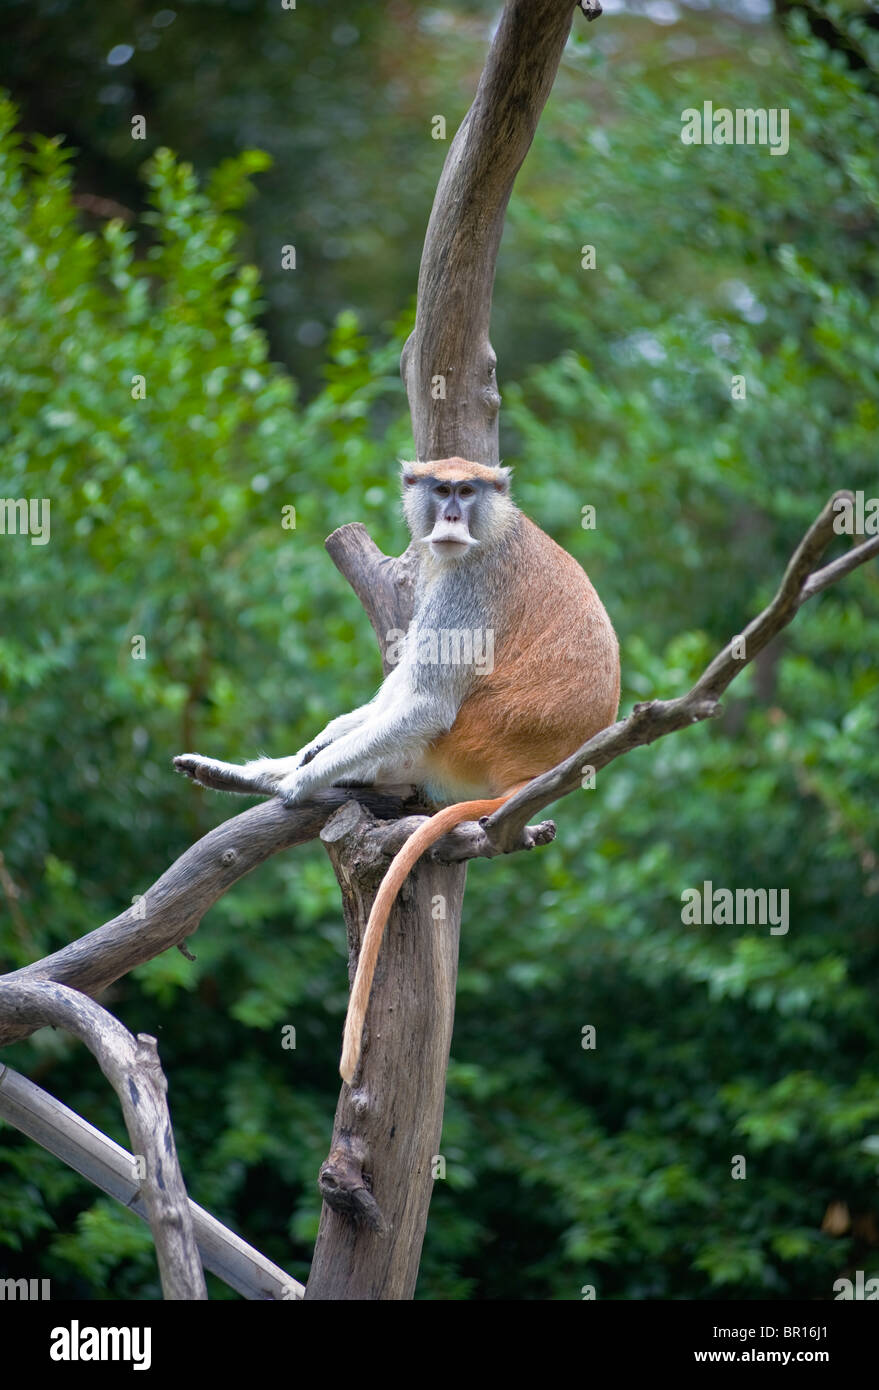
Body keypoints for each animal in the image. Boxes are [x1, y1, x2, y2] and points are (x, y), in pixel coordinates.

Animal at [175, 458, 620, 1083]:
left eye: (467, 491)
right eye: (442, 489)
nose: (451, 515)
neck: (496, 528)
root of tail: (539, 776)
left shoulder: (466, 583)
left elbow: (425, 703)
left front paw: (298, 782)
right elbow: (398, 693)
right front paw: (313, 748)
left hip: (470, 742)